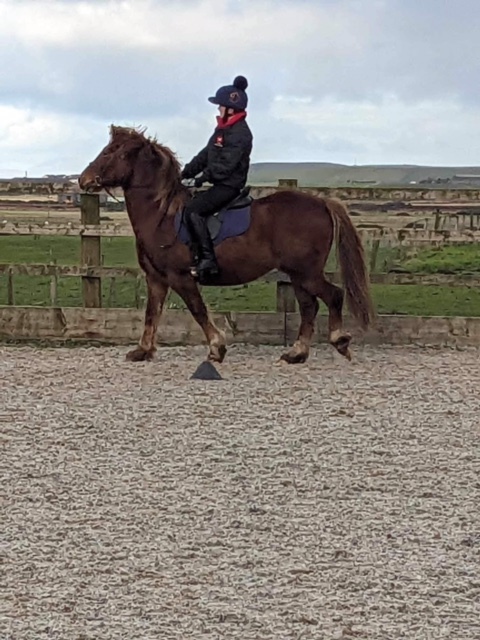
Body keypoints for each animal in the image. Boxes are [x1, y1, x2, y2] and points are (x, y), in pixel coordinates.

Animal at [78, 125, 375, 364]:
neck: (161, 215)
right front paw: (143, 351)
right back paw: (297, 353)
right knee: (309, 306)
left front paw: (216, 348)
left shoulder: (181, 276)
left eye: (111, 152)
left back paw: (338, 340)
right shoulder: (157, 278)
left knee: (333, 296)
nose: (83, 179)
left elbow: (197, 310)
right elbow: (152, 313)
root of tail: (323, 202)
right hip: (298, 275)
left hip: (306, 273)